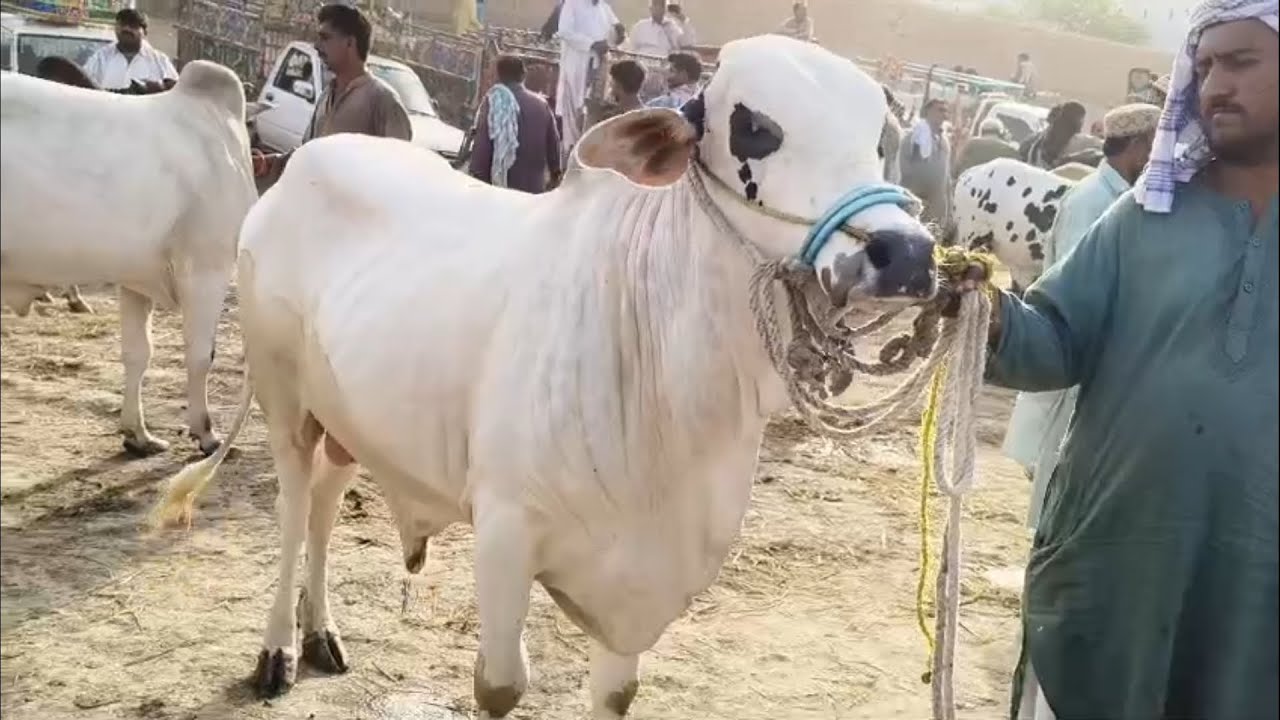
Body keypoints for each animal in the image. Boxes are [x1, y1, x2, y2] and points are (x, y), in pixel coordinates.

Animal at [1, 60, 264, 457]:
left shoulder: (137, 280)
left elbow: (138, 354)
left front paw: (136, 434)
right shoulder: (207, 268)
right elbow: (201, 355)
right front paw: (206, 434)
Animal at [152, 35, 939, 718]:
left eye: (881, 136)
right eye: (754, 127)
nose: (905, 253)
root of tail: (301, 164)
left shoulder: (641, 594)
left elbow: (616, 693)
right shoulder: (506, 536)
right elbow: (501, 685)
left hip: (353, 419)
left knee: (323, 505)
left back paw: (321, 634)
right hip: (284, 399)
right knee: (292, 513)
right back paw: (277, 651)